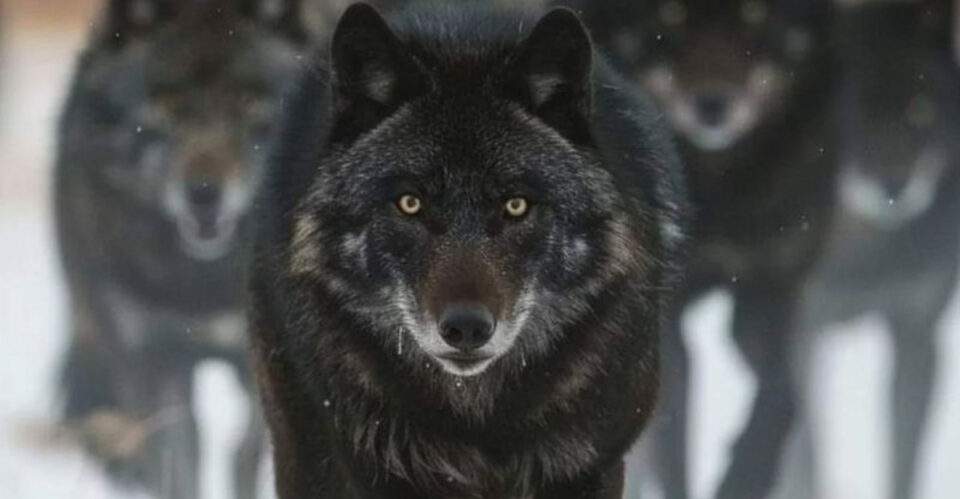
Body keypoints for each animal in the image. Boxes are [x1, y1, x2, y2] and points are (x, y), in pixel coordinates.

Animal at [54, 1, 307, 497]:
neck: (200, 286)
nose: (204, 193)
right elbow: (177, 461)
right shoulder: (151, 362)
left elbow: (245, 451)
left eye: (248, 103)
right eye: (169, 107)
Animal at [553, 1, 839, 497]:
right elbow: (671, 449)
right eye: (670, 16)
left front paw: (745, 475)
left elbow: (782, 393)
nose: (713, 105)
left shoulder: (773, 287)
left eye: (756, 15)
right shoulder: (660, 323)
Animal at [786, 3, 960, 499]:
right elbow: (809, 458)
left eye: (922, 109)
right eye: (857, 108)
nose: (893, 186)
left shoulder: (918, 333)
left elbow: (903, 465)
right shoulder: (801, 330)